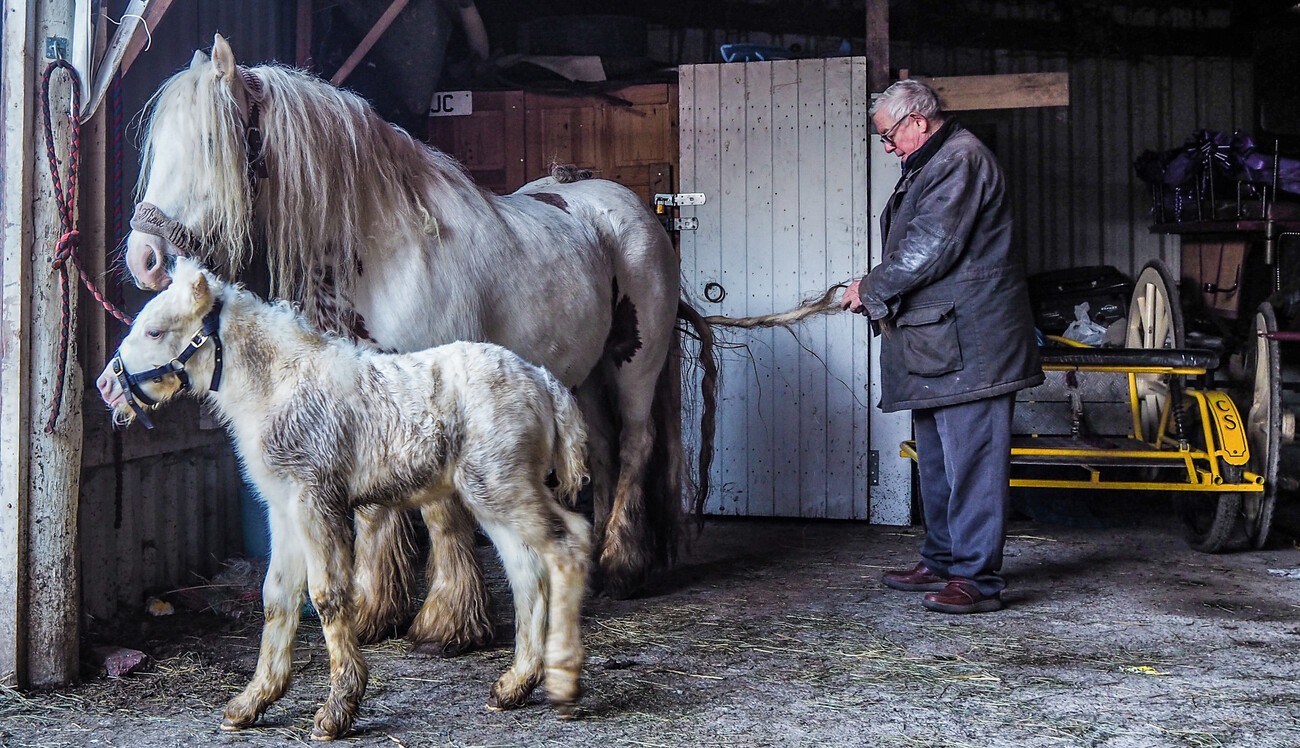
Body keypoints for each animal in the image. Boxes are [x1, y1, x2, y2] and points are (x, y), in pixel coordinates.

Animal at [97, 257, 592, 739]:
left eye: (155, 331)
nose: (106, 386)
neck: (278, 386)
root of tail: (543, 382)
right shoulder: (283, 509)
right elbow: (277, 596)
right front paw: (251, 703)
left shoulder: (315, 500)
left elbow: (328, 595)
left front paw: (338, 710)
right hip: (493, 495)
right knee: (528, 572)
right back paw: (514, 686)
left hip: (502, 486)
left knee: (569, 545)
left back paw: (563, 685)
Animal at [122, 33, 716, 652]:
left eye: (210, 143)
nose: (144, 259)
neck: (389, 248)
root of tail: (622, 208)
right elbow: (375, 507)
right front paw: (376, 610)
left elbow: (440, 510)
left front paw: (448, 623)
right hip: (588, 373)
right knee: (600, 448)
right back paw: (592, 564)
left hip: (634, 364)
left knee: (636, 446)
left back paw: (623, 566)